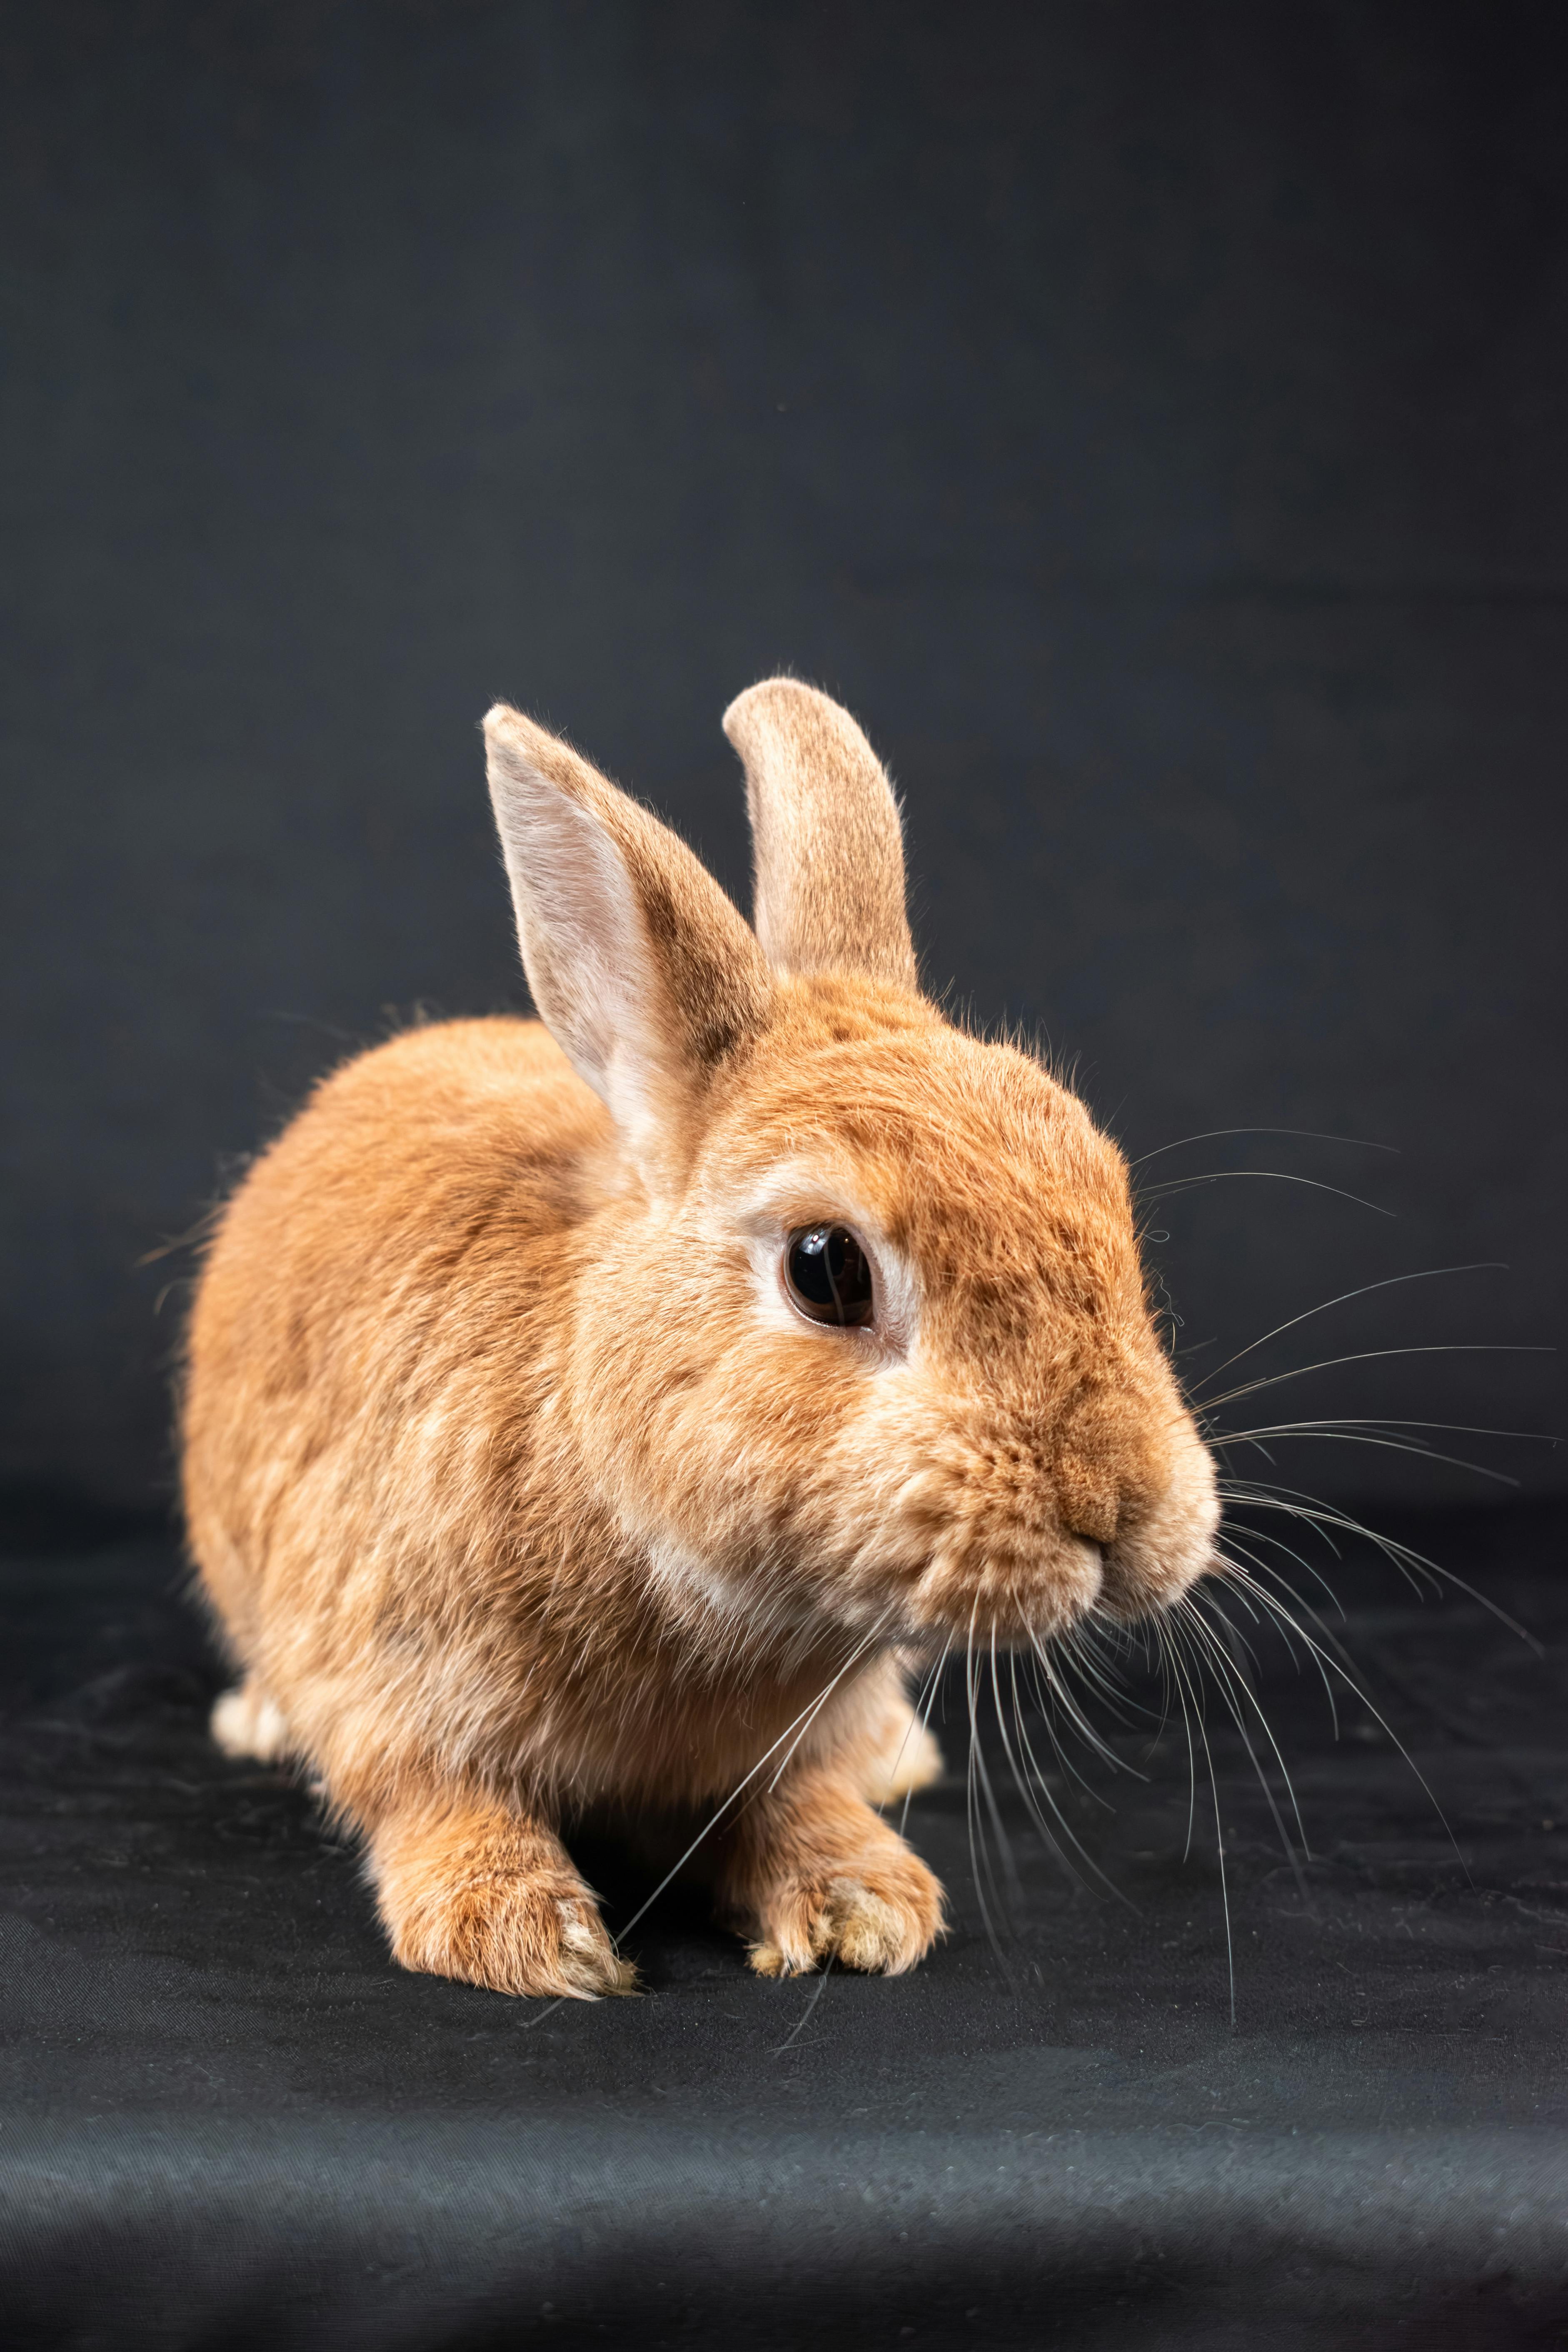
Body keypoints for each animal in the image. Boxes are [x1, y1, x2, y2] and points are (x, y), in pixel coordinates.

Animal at [181, 679, 1220, 1998]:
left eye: (1107, 1187)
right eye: (826, 1268)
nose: (1122, 1506)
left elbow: (793, 1804)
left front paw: (860, 1898)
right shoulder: (384, 1671)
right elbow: (435, 1796)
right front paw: (529, 1933)